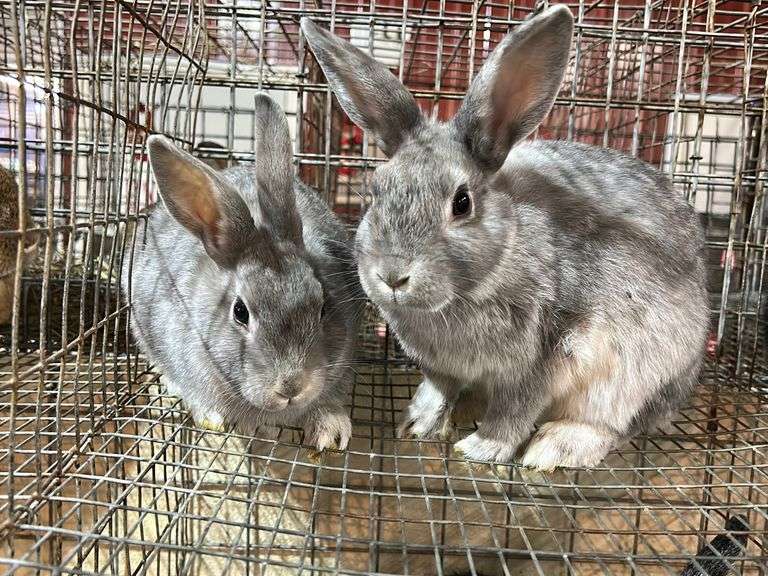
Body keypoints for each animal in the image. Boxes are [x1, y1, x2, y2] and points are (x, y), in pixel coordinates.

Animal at [300, 4, 709, 469]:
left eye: (462, 202)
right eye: (375, 191)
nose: (392, 276)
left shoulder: (546, 356)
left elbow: (516, 409)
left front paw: (483, 447)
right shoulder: (442, 367)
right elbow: (438, 390)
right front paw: (417, 424)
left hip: (634, 378)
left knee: (611, 426)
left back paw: (556, 445)